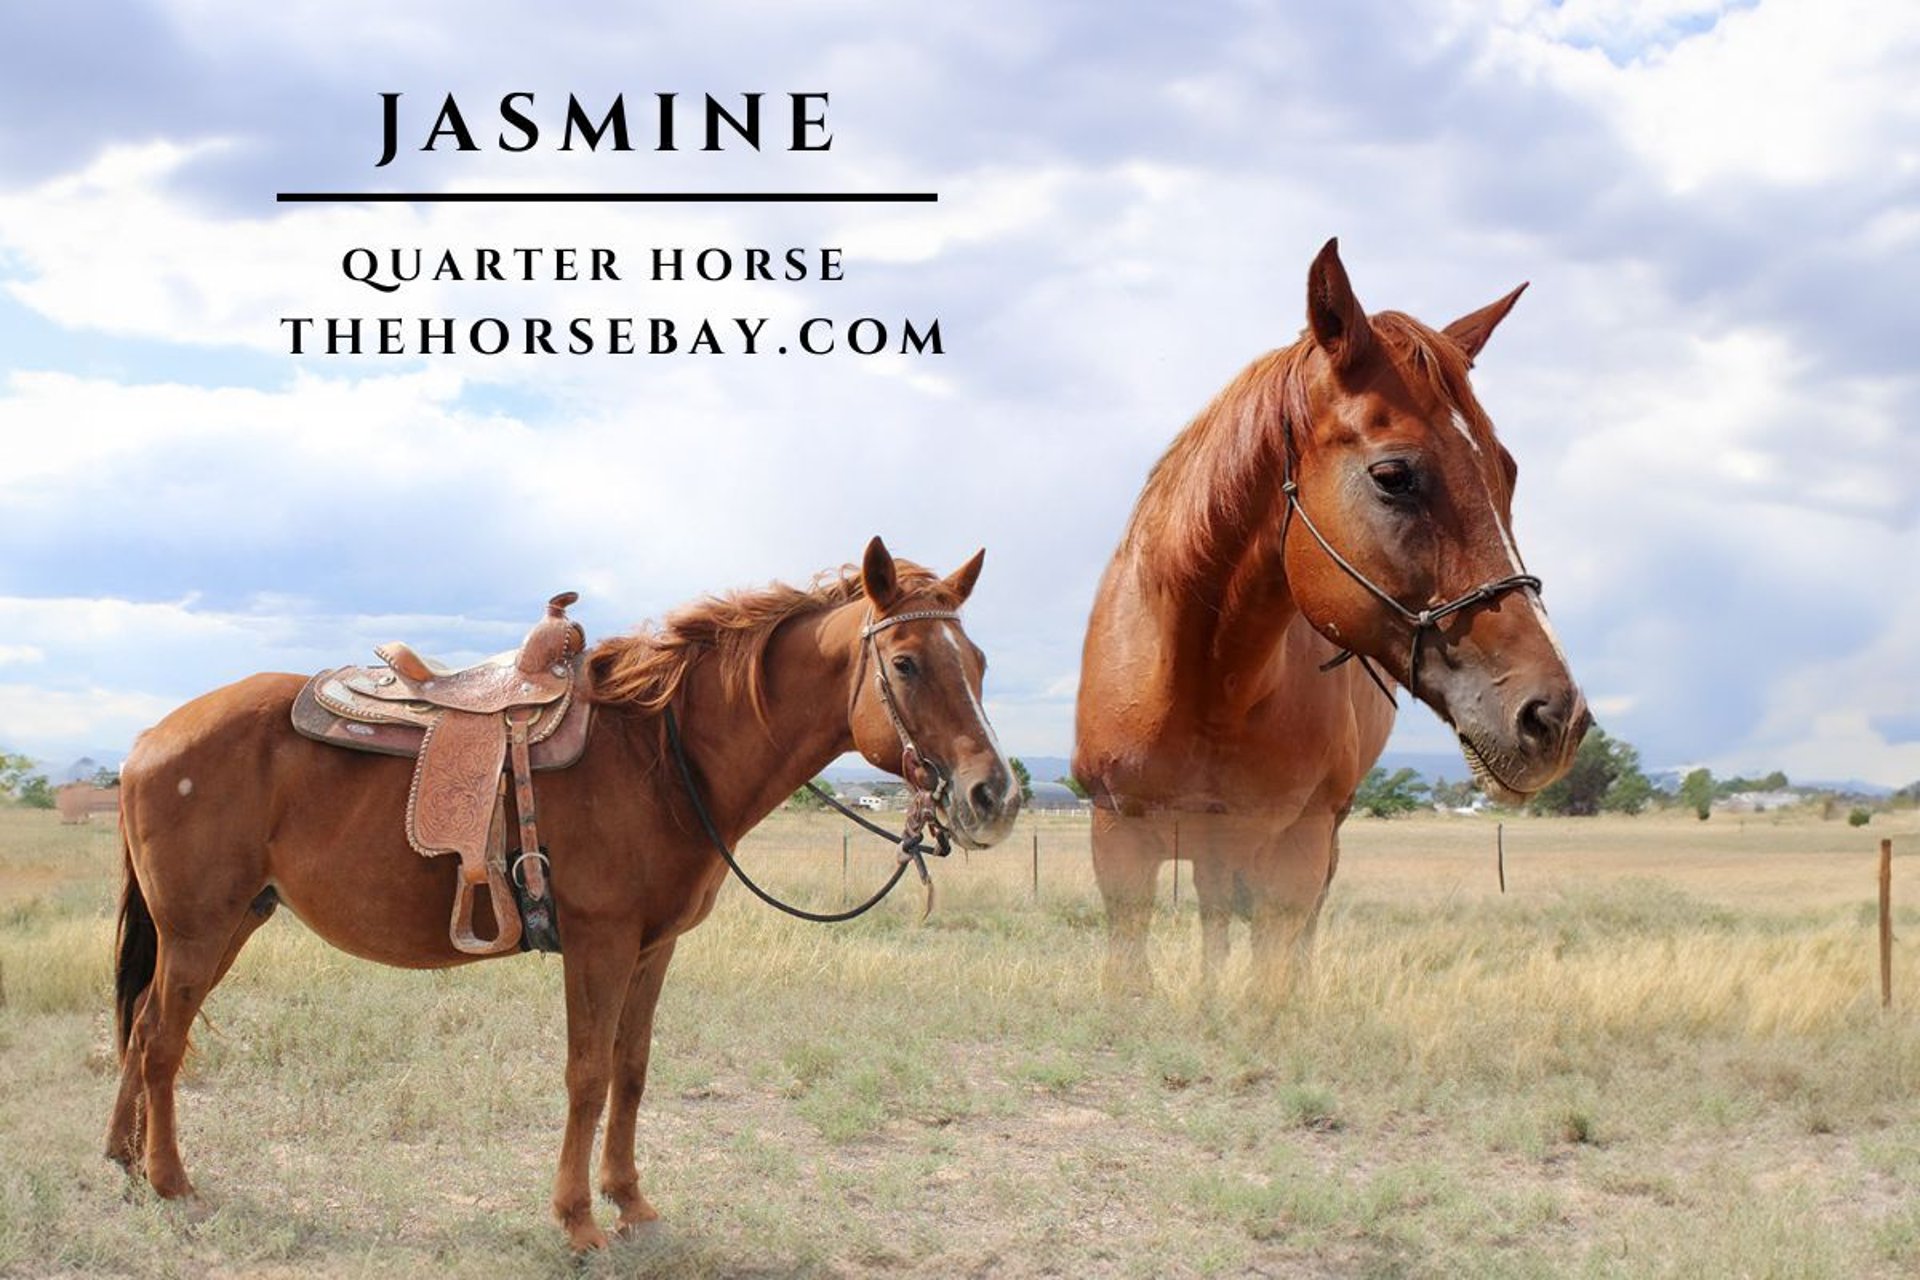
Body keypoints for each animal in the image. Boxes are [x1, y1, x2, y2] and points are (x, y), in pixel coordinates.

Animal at [107, 537, 1020, 1250]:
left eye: (978, 664)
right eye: (905, 663)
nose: (994, 796)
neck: (664, 755)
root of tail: (150, 737)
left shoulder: (654, 947)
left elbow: (633, 1069)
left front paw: (632, 1202)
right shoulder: (599, 942)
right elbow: (587, 1073)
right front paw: (578, 1219)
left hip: (231, 922)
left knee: (144, 1025)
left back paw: (123, 1160)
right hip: (200, 927)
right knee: (161, 1042)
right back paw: (172, 1183)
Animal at [1074, 239, 1590, 995]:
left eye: (1509, 473)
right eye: (1394, 476)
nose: (1556, 717)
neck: (1206, 686)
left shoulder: (1296, 853)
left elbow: (1273, 987)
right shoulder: (1120, 841)